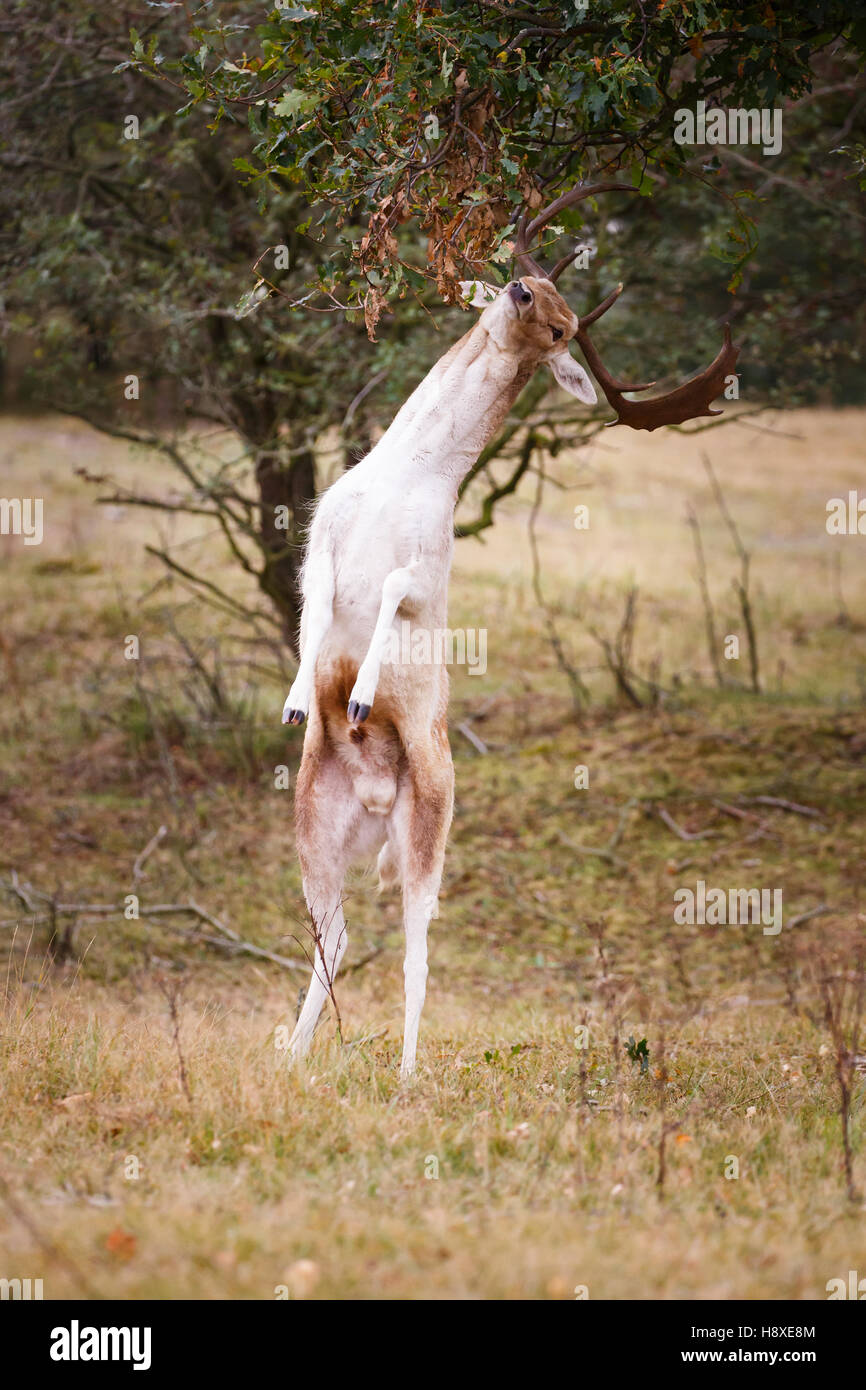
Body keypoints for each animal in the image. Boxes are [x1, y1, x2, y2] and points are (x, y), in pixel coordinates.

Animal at [280, 184, 740, 1079]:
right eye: (525, 281)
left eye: (565, 326)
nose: (527, 297)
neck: (405, 476)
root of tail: (380, 796)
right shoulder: (324, 531)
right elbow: (315, 607)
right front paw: (297, 702)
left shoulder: (431, 572)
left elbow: (391, 594)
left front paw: (360, 695)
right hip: (315, 825)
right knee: (336, 935)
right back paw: (289, 1054)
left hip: (431, 821)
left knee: (418, 947)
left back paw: (406, 1073)